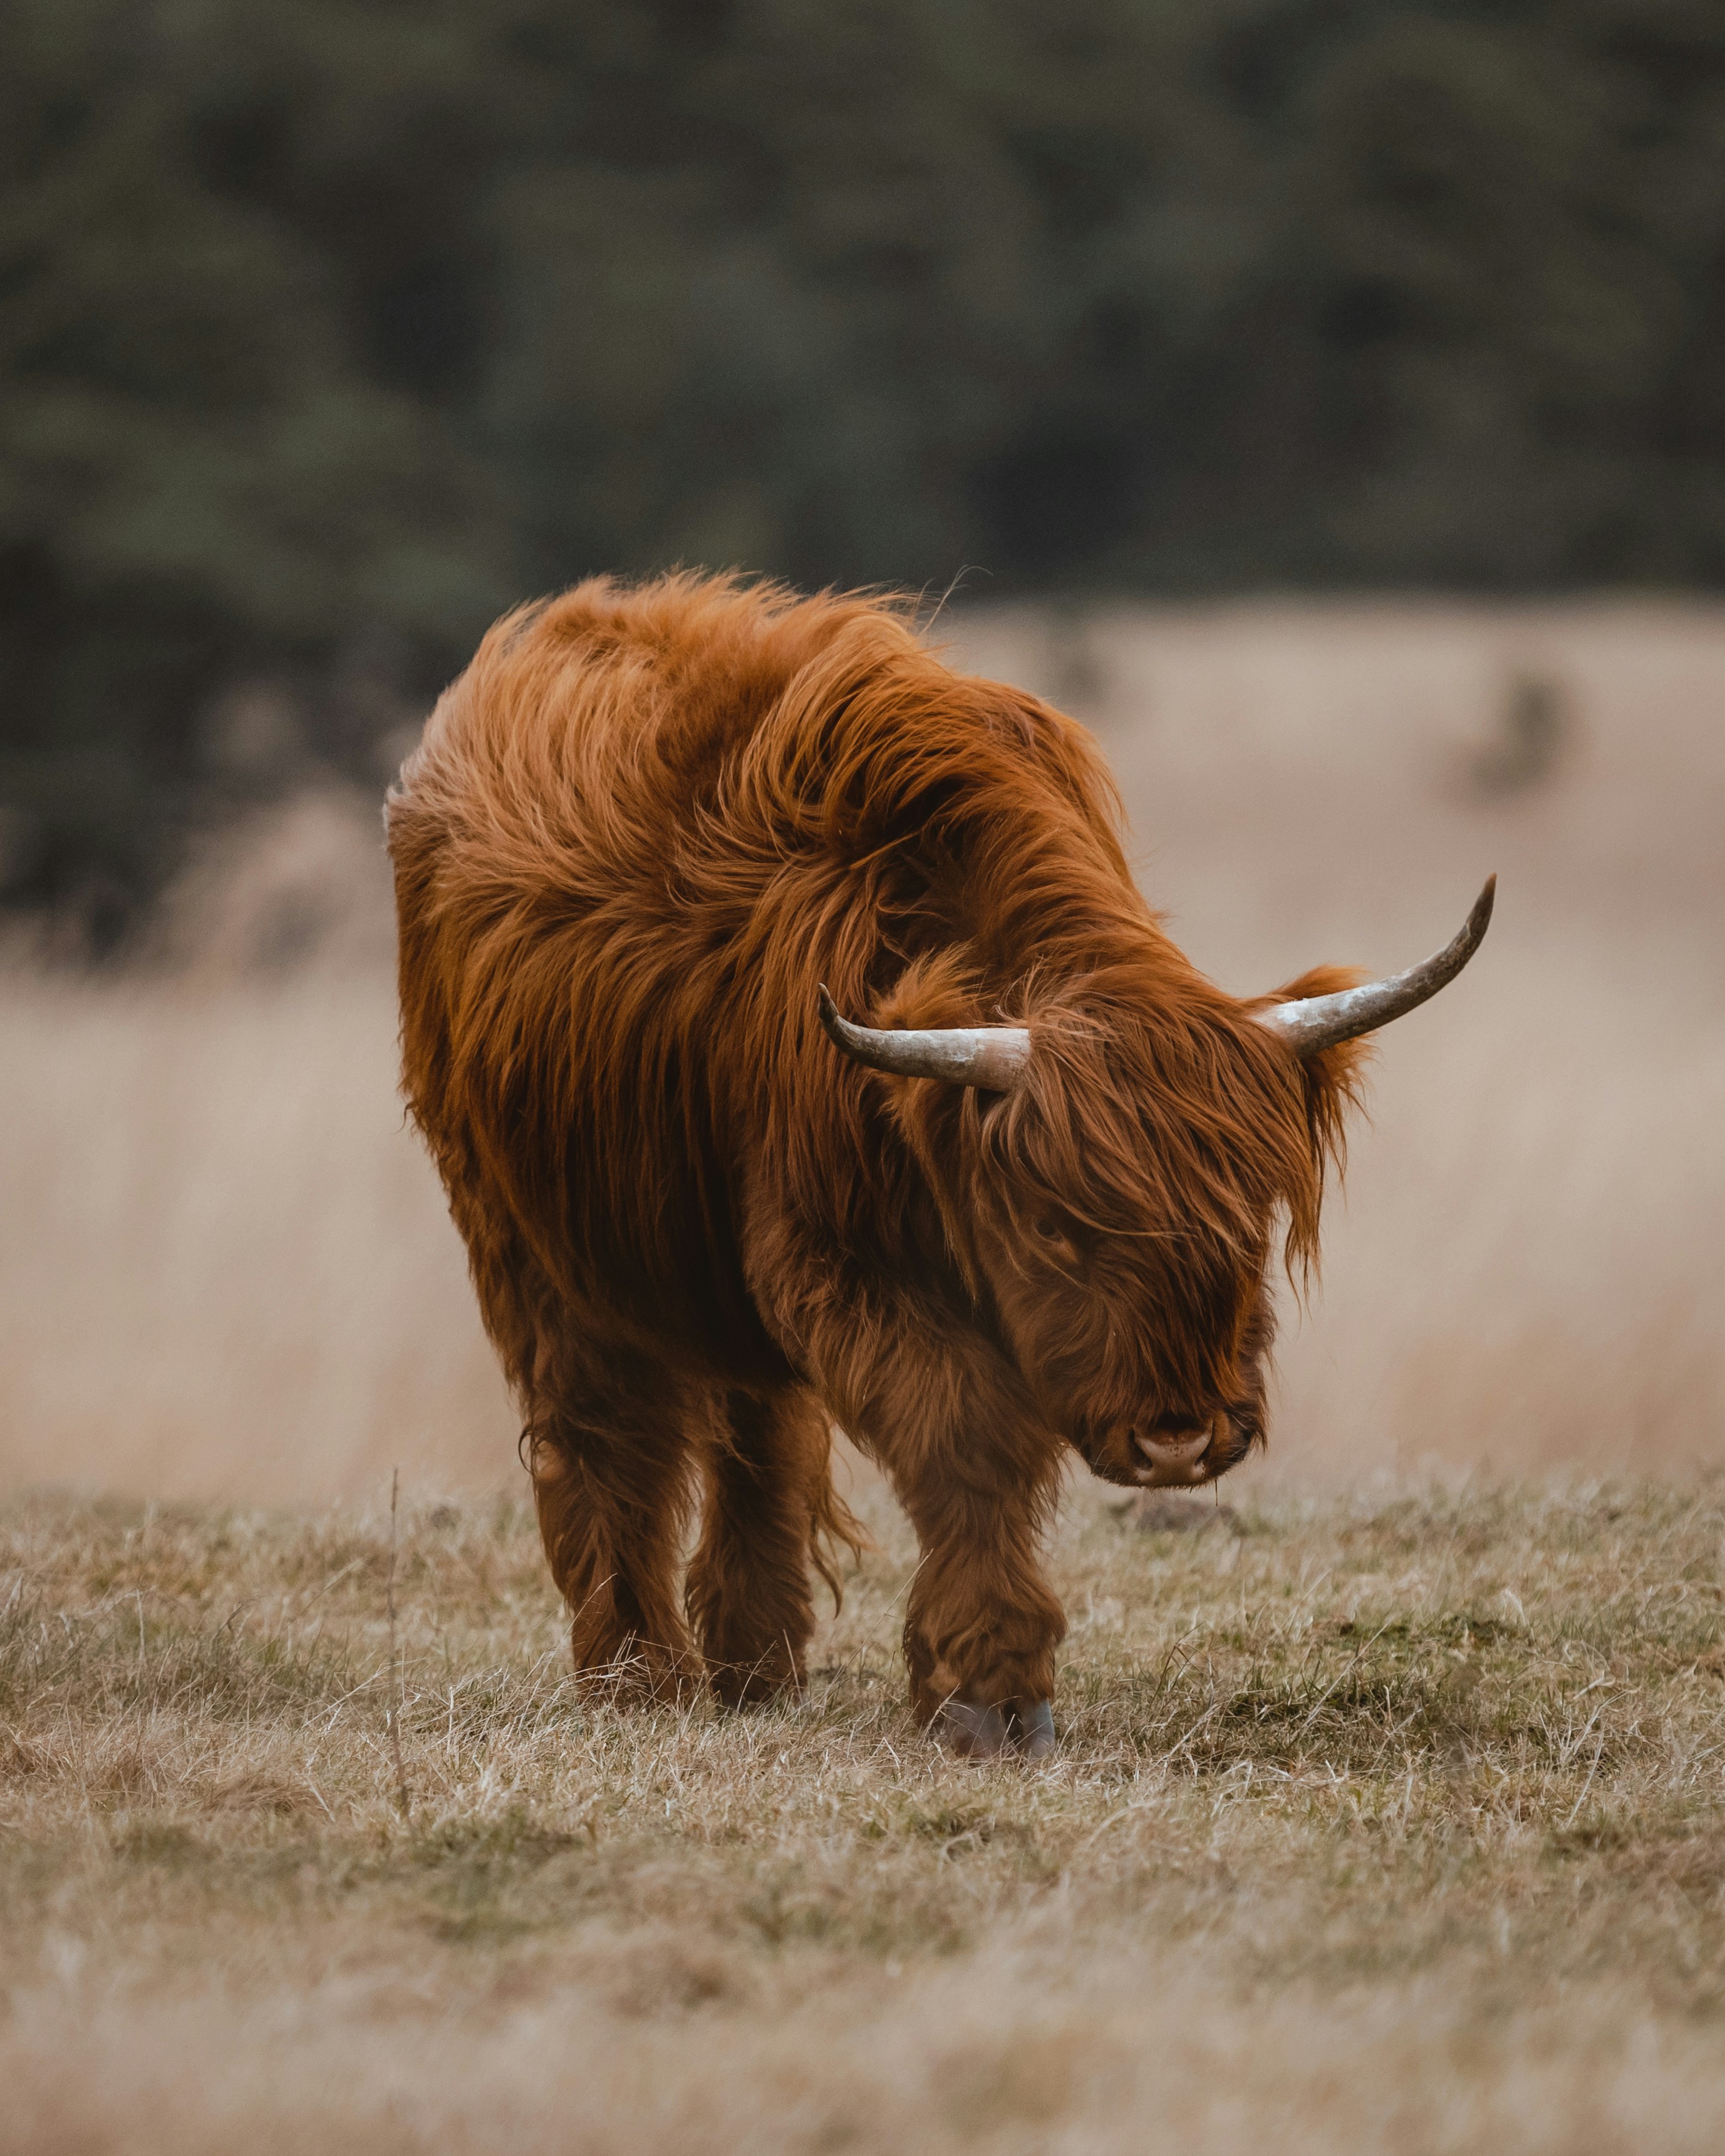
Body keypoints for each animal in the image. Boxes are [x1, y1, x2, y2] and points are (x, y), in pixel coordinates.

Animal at [386, 572, 1491, 1759]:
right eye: (1057, 1227)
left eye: (1248, 1215)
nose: (1177, 1440)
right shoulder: (833, 1257)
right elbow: (963, 1438)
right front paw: (989, 1692)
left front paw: (951, 1677)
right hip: (529, 1240)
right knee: (604, 1434)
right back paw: (637, 1675)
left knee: (754, 1430)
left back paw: (754, 1661)